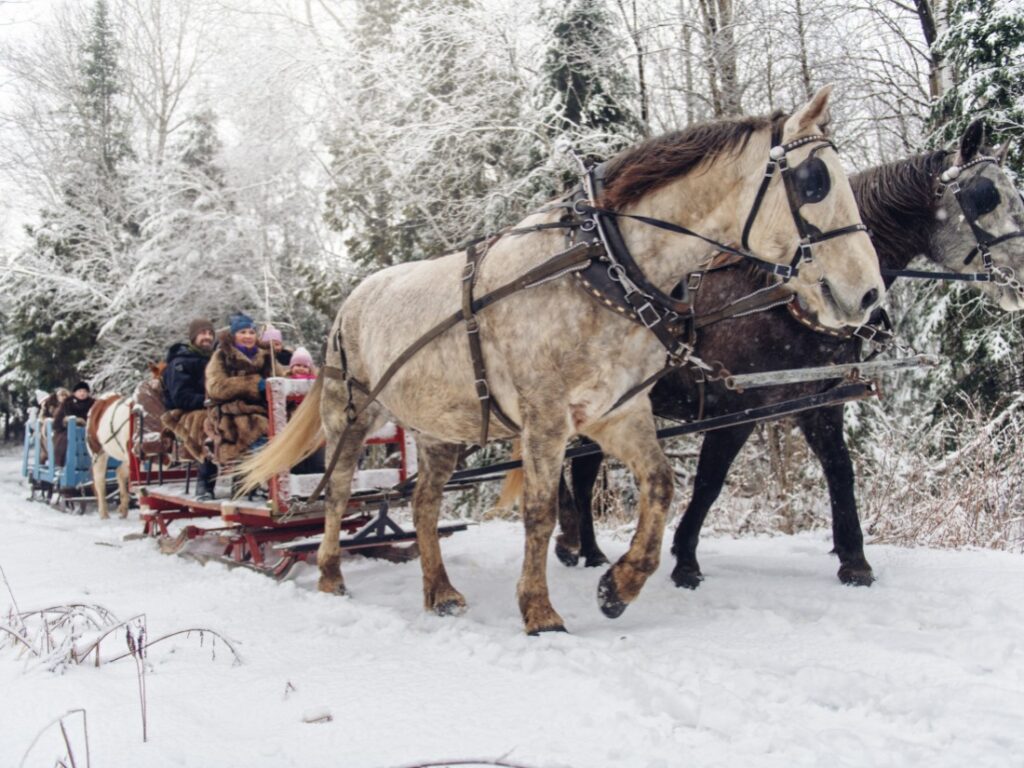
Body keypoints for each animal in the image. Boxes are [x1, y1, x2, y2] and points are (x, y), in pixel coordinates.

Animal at [235, 87, 884, 634]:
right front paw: (540, 611)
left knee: (422, 504)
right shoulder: (545, 416)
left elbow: (662, 485)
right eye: (814, 181)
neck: (605, 265)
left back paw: (439, 591)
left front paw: (619, 586)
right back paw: (330, 575)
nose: (869, 295)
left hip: (440, 428)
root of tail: (354, 298)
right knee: (340, 493)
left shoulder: (615, 412)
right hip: (351, 412)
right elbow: (541, 512)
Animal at [548, 118, 1024, 589]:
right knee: (580, 472)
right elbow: (709, 482)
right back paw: (583, 547)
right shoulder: (735, 407)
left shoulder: (819, 402)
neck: (783, 297)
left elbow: (840, 470)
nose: (1020, 277)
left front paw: (855, 561)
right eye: (985, 196)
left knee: (581, 471)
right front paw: (685, 561)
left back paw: (581, 546)